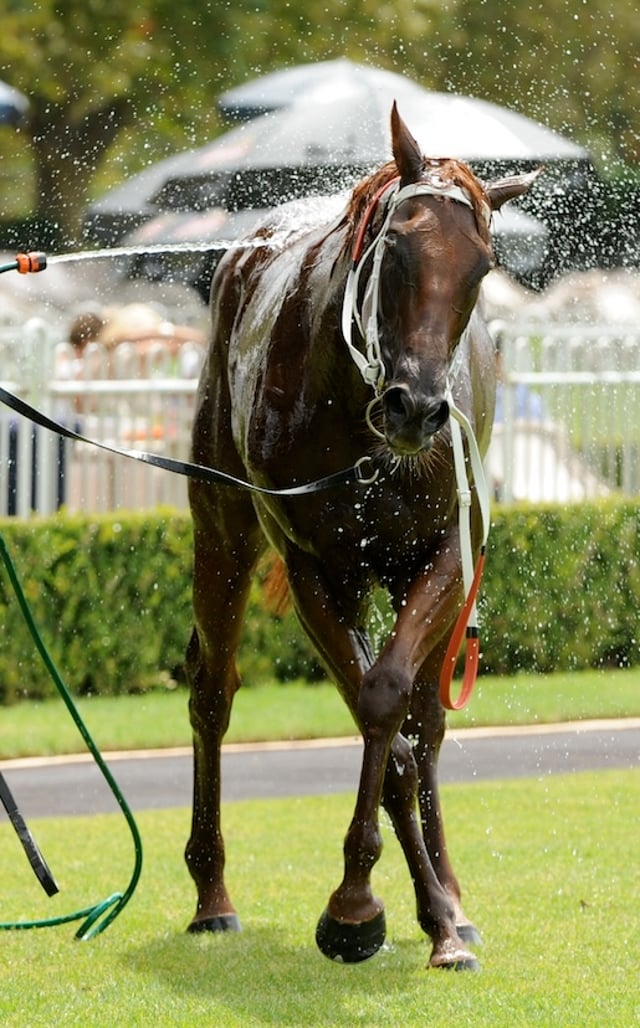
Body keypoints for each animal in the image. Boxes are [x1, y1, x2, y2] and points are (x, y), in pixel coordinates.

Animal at [184, 103, 539, 971]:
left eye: (482, 267)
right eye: (400, 245)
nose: (418, 405)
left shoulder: (445, 554)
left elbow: (394, 707)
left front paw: (435, 916)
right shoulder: (319, 564)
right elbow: (379, 721)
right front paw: (357, 907)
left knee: (426, 721)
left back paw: (452, 900)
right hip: (221, 530)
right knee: (213, 694)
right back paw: (213, 894)